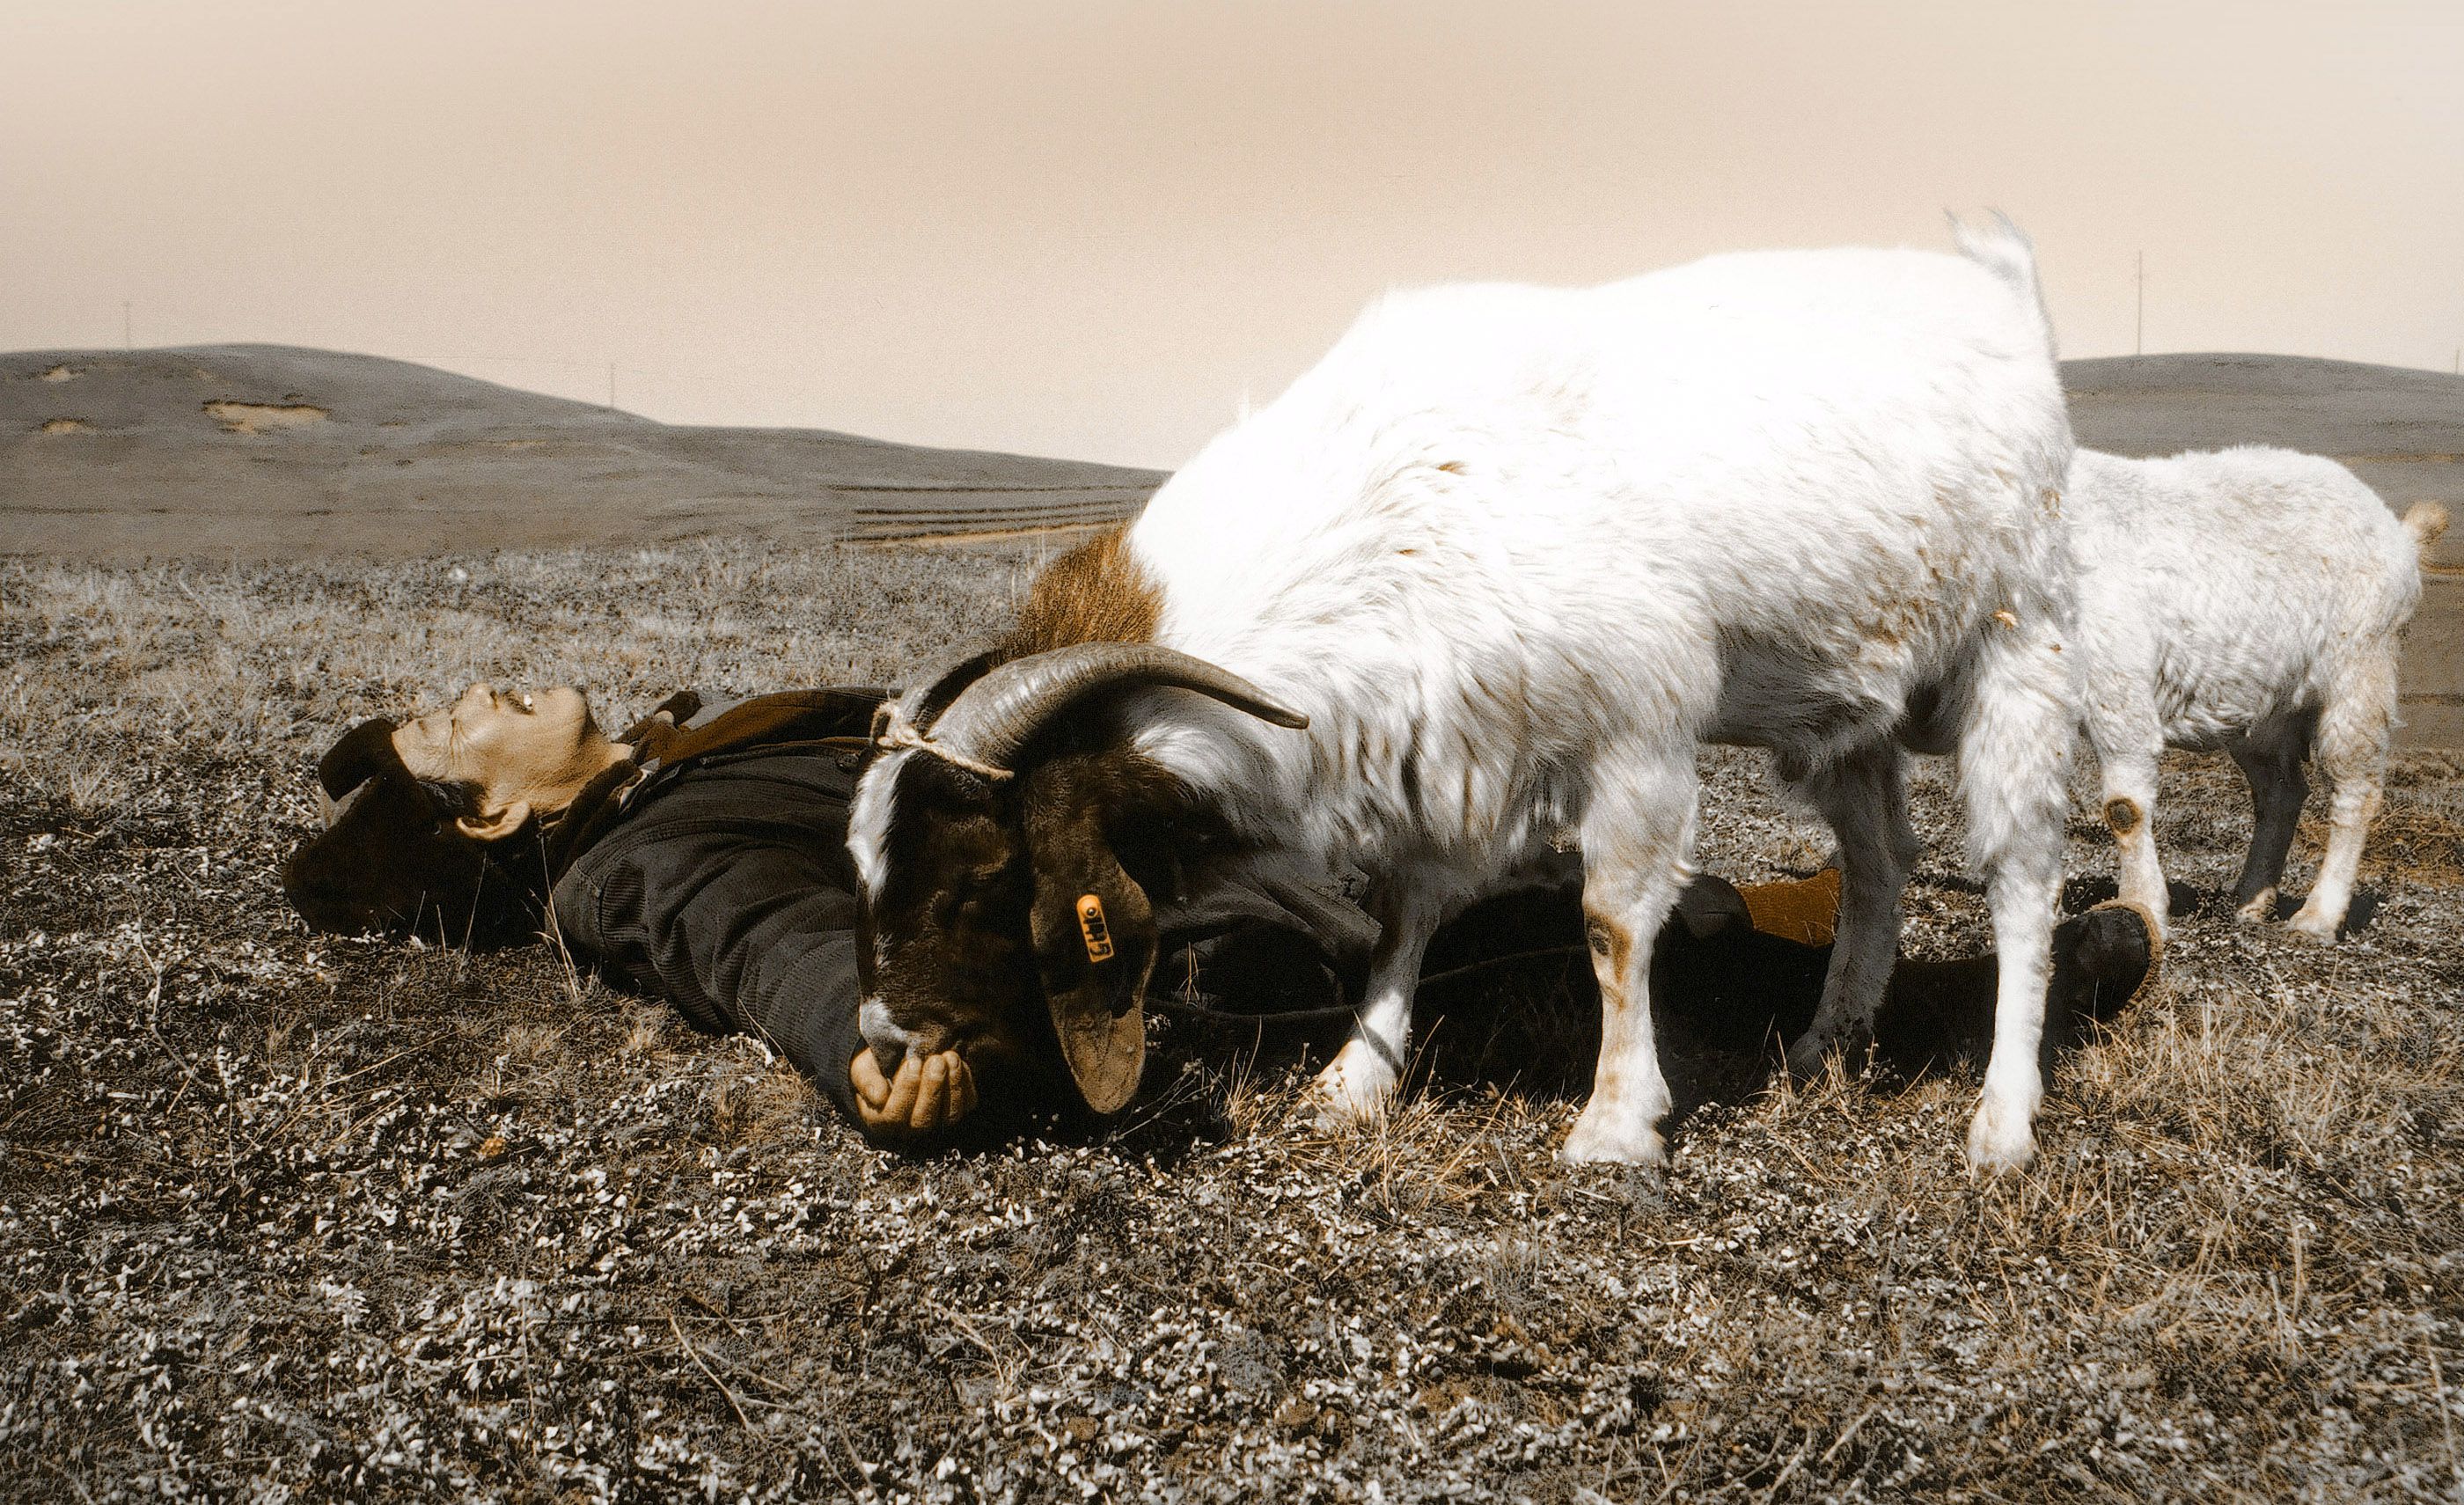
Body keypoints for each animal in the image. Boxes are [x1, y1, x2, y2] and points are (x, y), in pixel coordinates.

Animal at [848, 218, 2079, 1171]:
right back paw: (1827, 1047)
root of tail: (2000, 294)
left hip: (2017, 650)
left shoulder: (1637, 726)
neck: (1394, 500)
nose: (884, 1046)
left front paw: (1614, 1125)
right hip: (1841, 712)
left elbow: (1613, 925)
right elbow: (1407, 911)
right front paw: (1355, 1078)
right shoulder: (1443, 738)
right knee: (1876, 866)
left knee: (2021, 881)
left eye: (978, 882)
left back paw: (2001, 1123)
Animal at [2069, 445, 2447, 941]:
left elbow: (2123, 809)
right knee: (2281, 792)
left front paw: (2140, 906)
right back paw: (2252, 901)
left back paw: (2317, 917)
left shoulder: (2115, 684)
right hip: (2261, 710)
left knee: (2355, 788)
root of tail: (2401, 535)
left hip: (2360, 670)